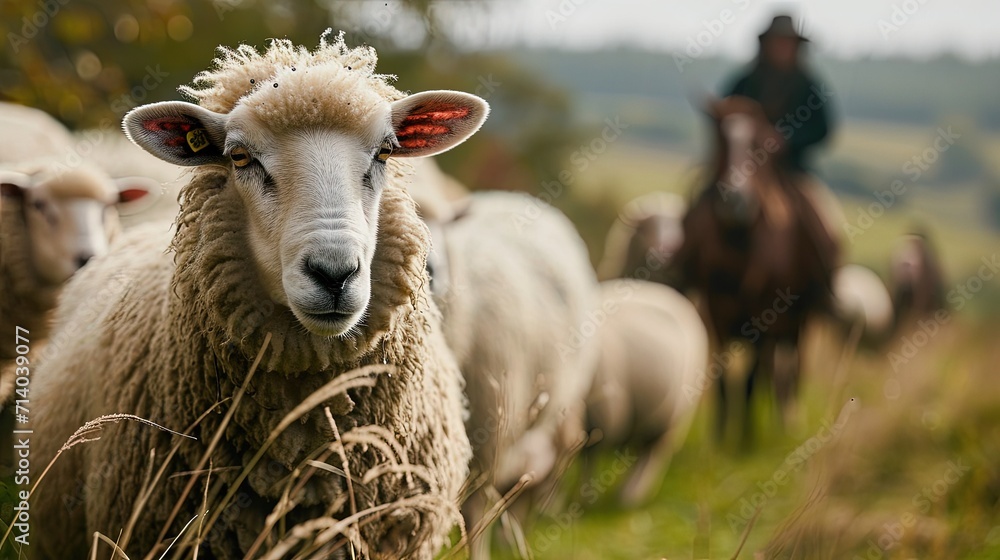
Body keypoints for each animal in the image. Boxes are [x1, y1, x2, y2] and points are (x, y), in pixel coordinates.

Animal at [417, 185, 600, 558]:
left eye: (443, 224)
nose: (433, 269)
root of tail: (513, 195)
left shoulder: (490, 434)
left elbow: (474, 509)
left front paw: (478, 553)